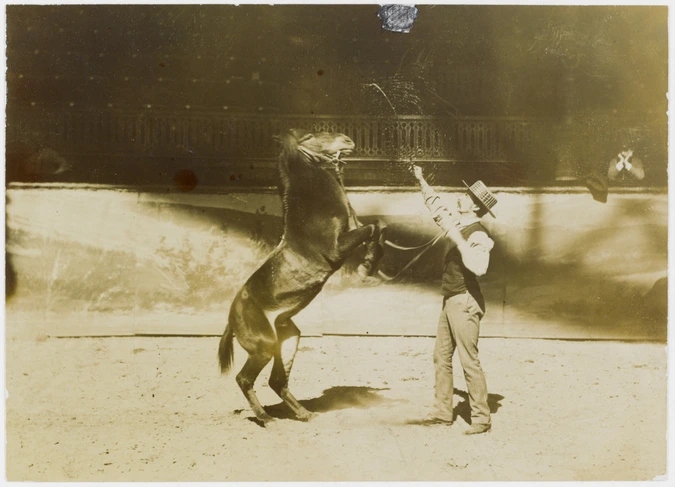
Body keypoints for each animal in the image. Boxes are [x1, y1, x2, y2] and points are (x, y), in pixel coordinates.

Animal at [218, 128, 386, 425]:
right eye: (314, 136)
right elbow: (371, 230)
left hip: (287, 338)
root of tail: (231, 320)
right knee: (244, 379)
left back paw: (305, 414)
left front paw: (370, 265)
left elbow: (376, 228)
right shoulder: (337, 248)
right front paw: (366, 268)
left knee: (277, 381)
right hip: (264, 345)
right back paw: (266, 419)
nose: (348, 140)